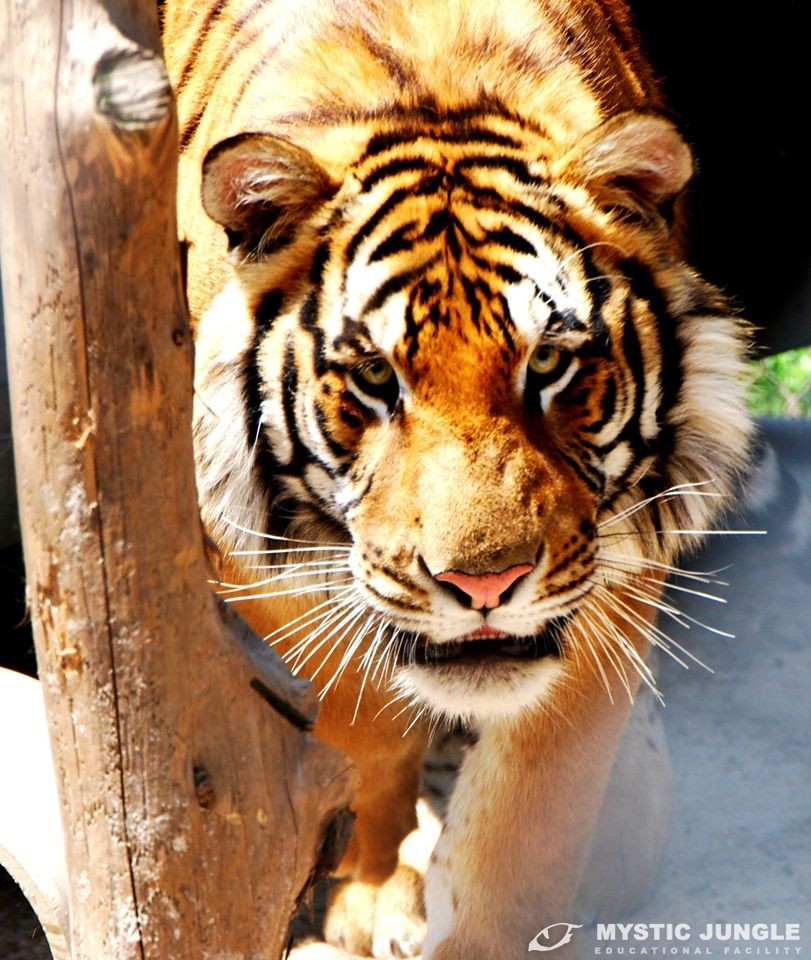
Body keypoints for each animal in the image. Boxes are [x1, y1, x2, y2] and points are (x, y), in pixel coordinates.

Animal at [160, 1, 753, 957]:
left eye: (548, 362)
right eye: (374, 374)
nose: (484, 585)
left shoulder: (611, 572)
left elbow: (529, 818)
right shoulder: (264, 571)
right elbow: (359, 720)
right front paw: (368, 893)